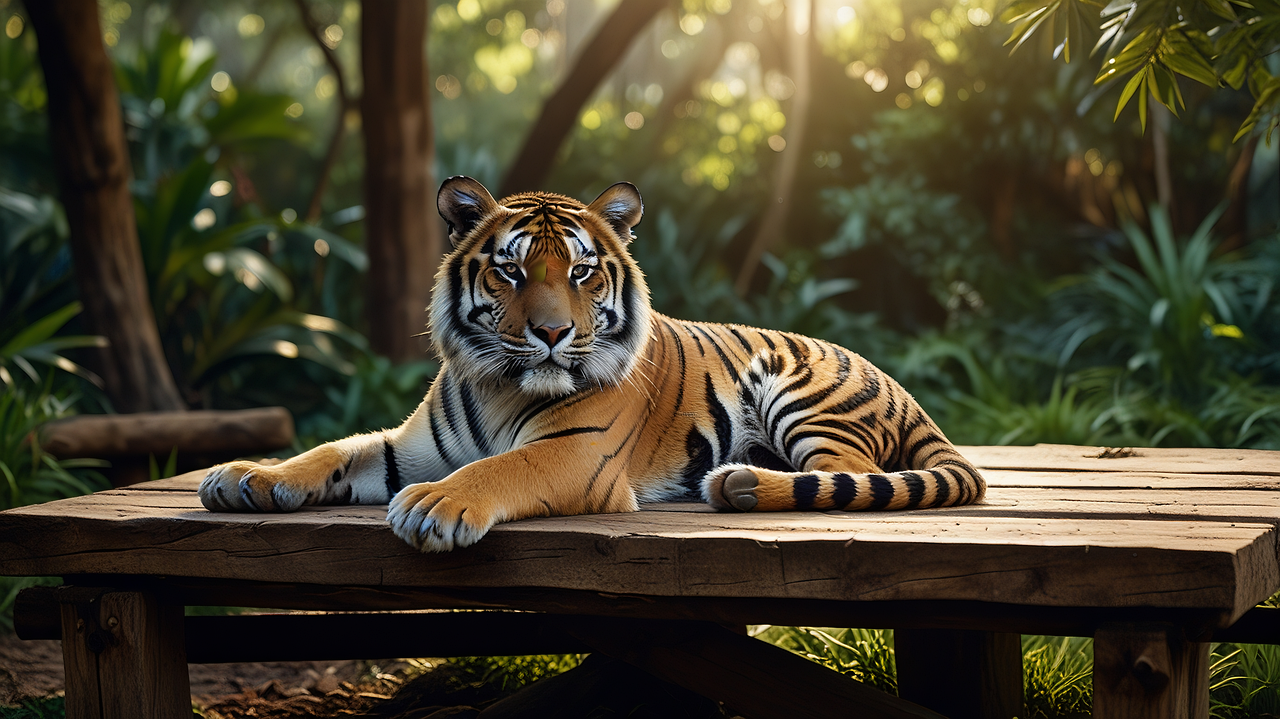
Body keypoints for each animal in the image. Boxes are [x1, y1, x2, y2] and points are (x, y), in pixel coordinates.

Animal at [198, 176, 986, 552]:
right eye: (511, 272)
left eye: (580, 273)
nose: (551, 332)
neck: (498, 385)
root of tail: (902, 387)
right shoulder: (409, 446)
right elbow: (331, 450)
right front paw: (246, 476)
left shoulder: (578, 454)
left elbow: (501, 467)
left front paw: (434, 506)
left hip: (801, 395)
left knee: (851, 477)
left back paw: (737, 483)